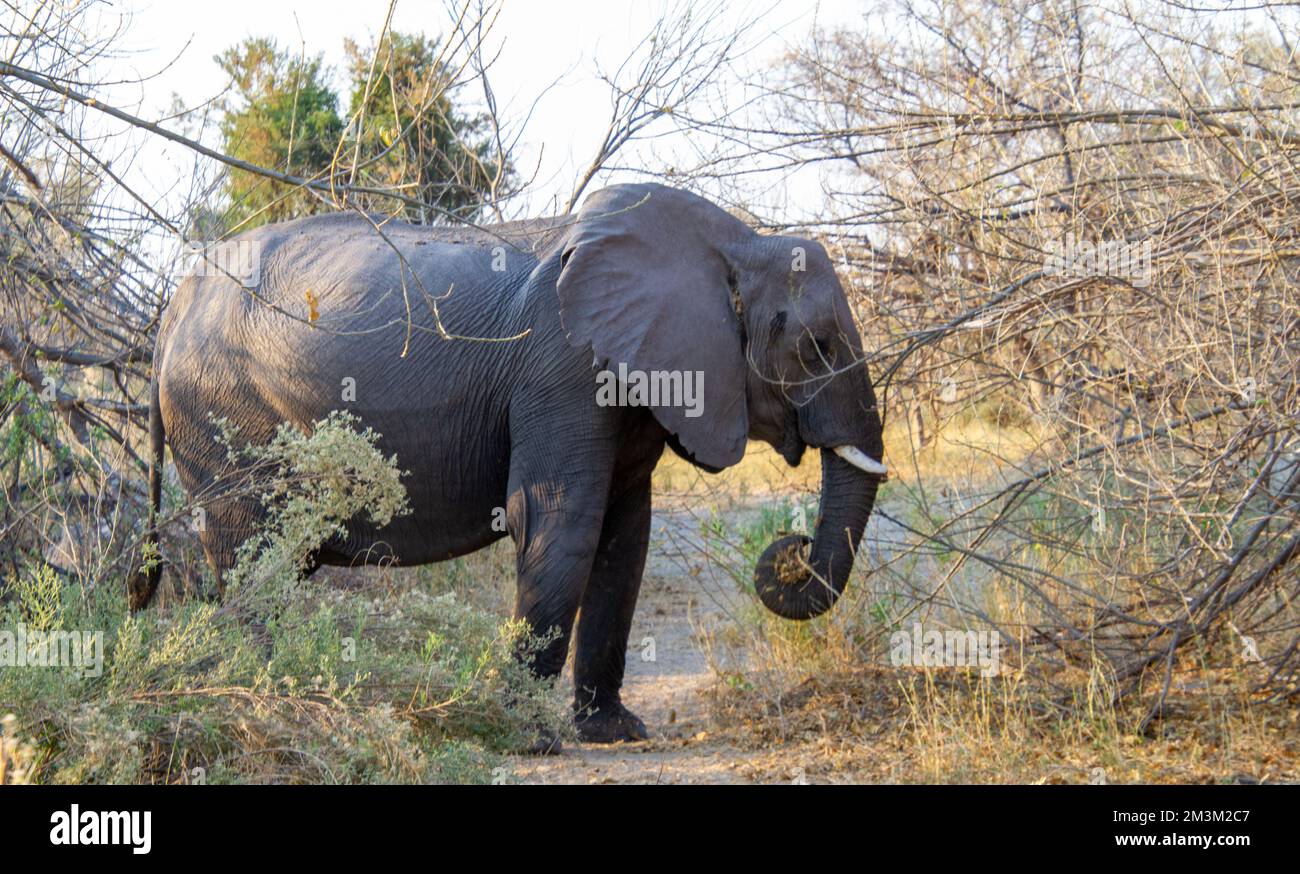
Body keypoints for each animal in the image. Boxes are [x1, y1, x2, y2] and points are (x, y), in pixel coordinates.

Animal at [132, 182, 887, 749]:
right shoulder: (564, 364)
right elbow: (561, 519)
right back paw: (270, 693)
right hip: (222, 413)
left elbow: (625, 536)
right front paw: (530, 738)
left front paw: (614, 733)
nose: (791, 549)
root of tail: (172, 309)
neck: (733, 241)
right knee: (254, 556)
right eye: (817, 347)